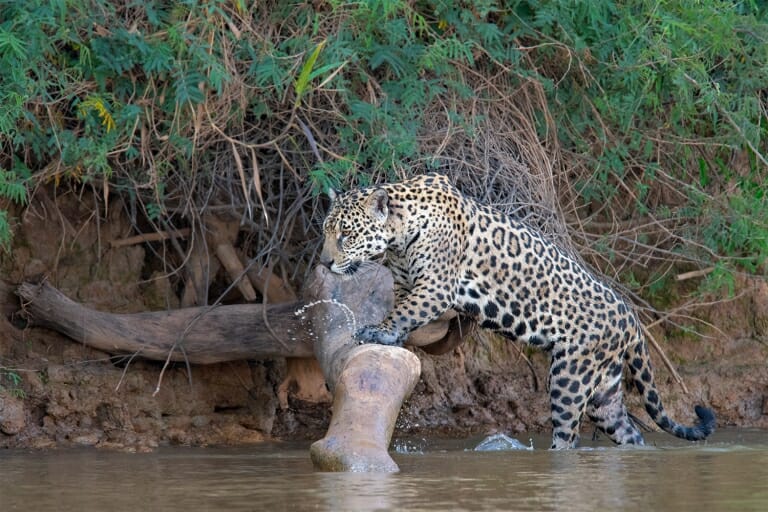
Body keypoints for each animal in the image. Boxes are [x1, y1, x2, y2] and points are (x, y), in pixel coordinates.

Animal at [320, 173, 715, 449]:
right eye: (325, 231)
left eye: (346, 236)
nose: (324, 262)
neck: (399, 236)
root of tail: (629, 315)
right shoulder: (406, 284)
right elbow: (404, 309)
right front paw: (395, 337)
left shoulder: (435, 286)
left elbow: (405, 312)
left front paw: (378, 331)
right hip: (604, 389)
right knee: (628, 431)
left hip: (571, 377)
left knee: (567, 435)